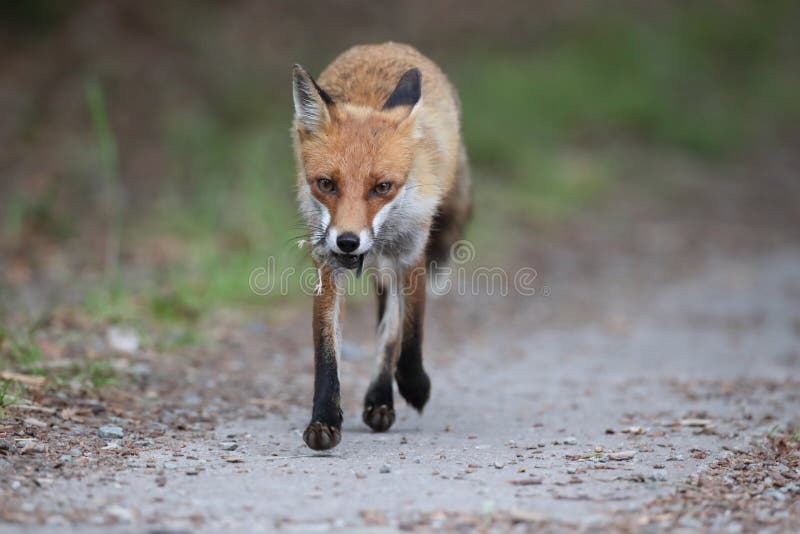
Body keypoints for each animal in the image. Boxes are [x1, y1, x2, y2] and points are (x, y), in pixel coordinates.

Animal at [291, 42, 471, 450]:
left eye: (382, 187)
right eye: (326, 184)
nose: (348, 241)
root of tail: (384, 46)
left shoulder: (412, 253)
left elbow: (407, 333)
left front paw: (414, 386)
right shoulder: (326, 265)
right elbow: (326, 352)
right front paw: (324, 421)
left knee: (391, 331)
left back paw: (382, 396)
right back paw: (379, 399)